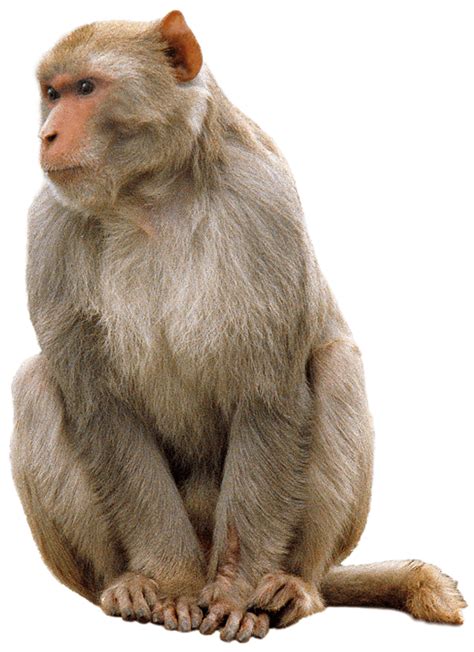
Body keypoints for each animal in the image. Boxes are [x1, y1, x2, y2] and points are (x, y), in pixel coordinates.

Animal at [11, 9, 466, 643]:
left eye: (85, 88)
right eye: (51, 94)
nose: (47, 135)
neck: (150, 195)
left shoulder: (264, 206)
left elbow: (268, 396)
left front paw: (234, 591)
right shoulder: (50, 227)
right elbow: (104, 410)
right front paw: (171, 584)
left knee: (335, 366)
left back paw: (293, 588)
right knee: (35, 384)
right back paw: (125, 585)